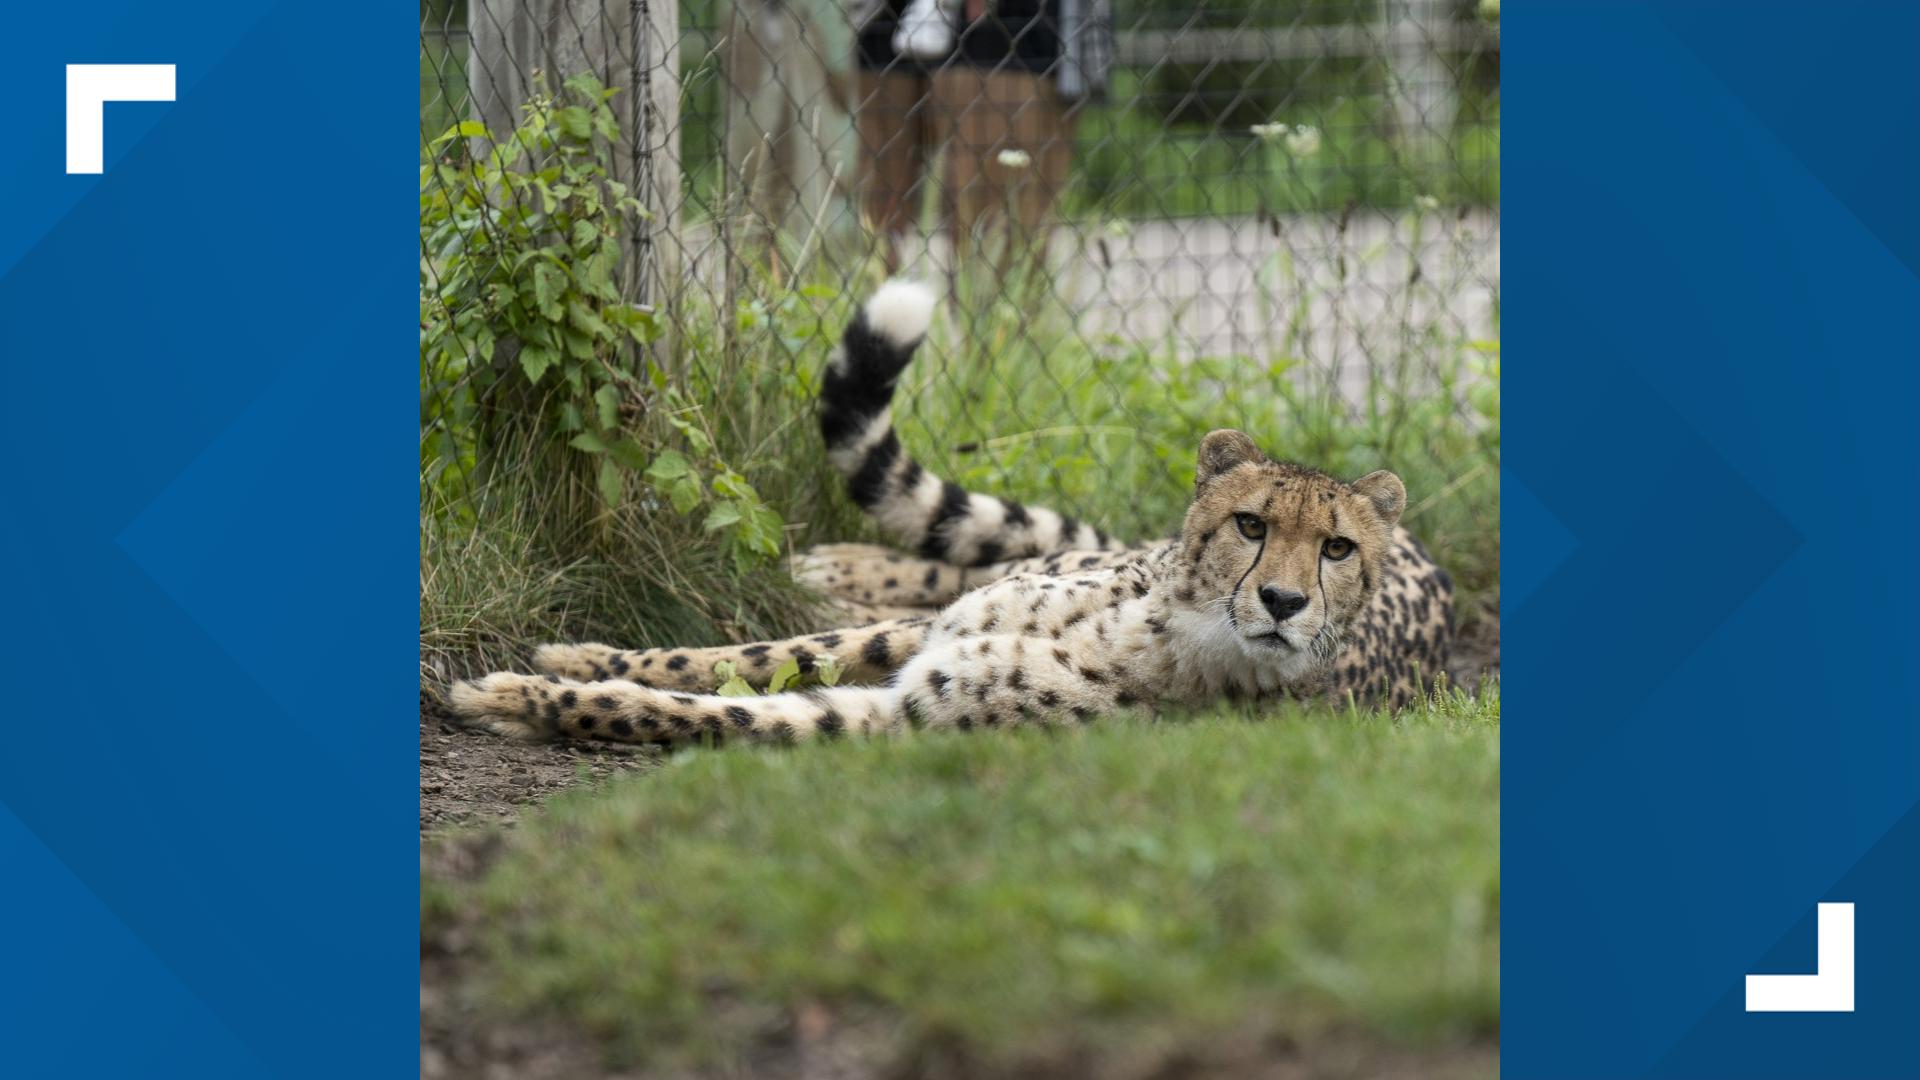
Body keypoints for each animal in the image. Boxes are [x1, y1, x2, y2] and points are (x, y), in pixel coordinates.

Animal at [449, 281, 1453, 744]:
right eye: (1251, 526)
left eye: (1334, 550)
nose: (1284, 603)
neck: (1169, 627)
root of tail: (1429, 559)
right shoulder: (927, 636)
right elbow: (761, 653)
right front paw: (580, 656)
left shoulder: (904, 716)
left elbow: (703, 713)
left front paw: (517, 697)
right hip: (1025, 569)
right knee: (955, 560)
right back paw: (826, 567)